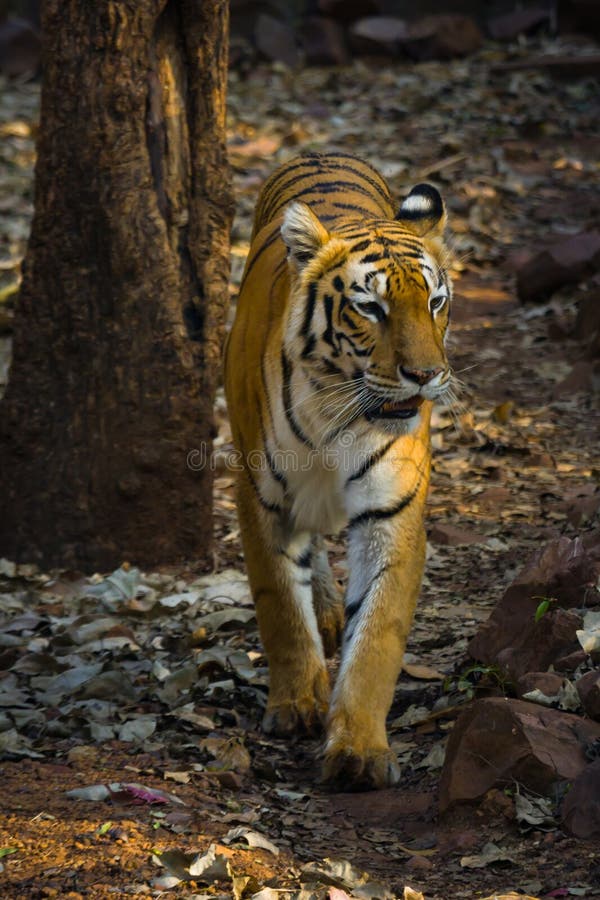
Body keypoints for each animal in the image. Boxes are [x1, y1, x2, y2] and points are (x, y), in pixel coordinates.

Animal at [224, 151, 453, 789]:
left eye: (435, 303)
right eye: (370, 307)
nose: (425, 375)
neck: (338, 412)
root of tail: (322, 152)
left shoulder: (391, 508)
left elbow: (376, 633)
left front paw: (358, 752)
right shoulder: (260, 495)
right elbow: (279, 603)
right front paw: (296, 704)